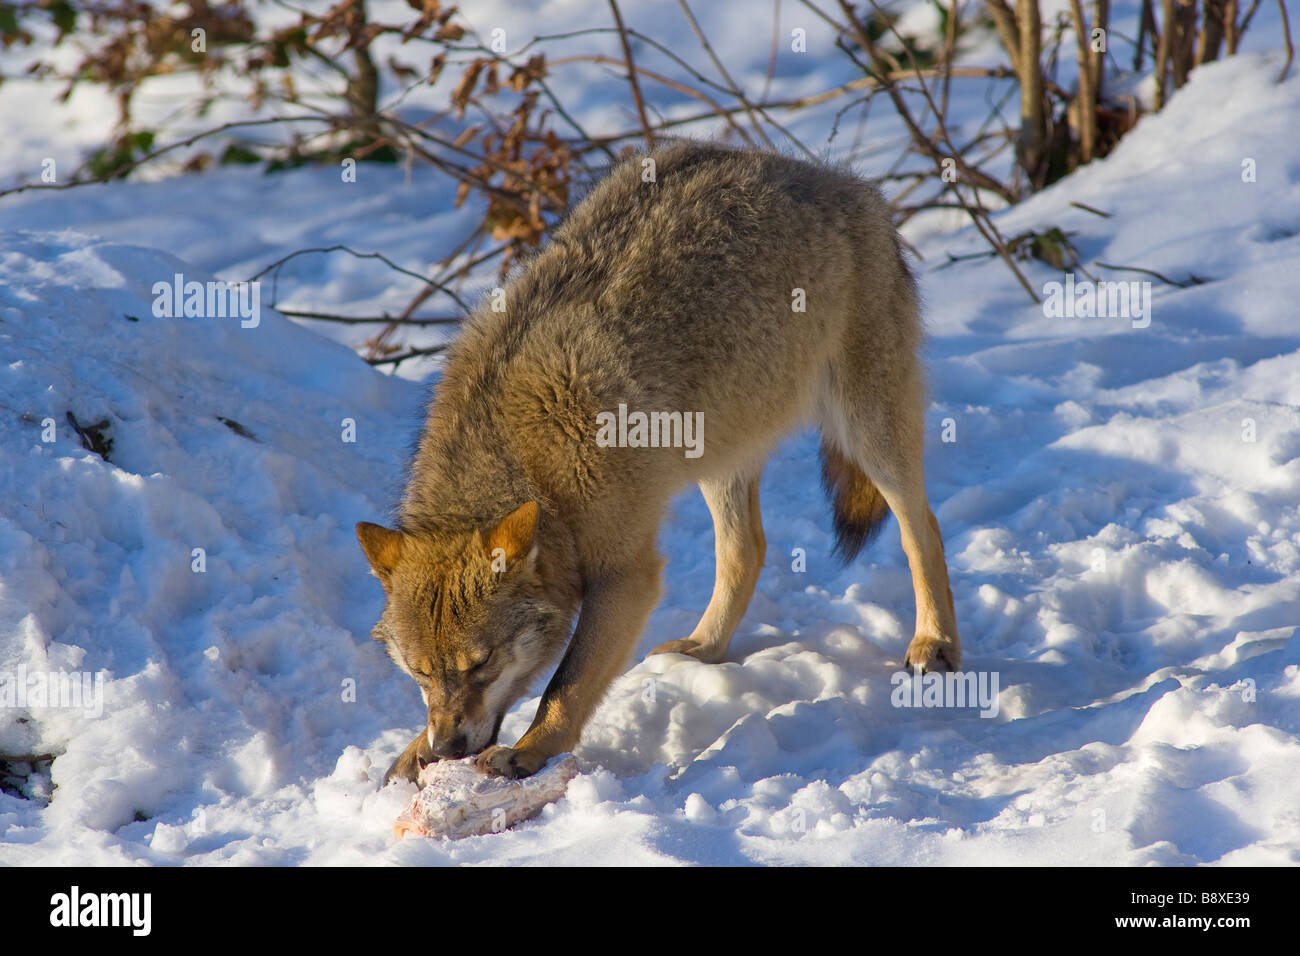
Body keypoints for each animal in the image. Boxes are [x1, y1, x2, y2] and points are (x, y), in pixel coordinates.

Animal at [357, 142, 960, 782]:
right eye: (420, 673)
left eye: (481, 662)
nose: (449, 746)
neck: (525, 456)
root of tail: (844, 181)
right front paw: (413, 753)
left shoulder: (627, 575)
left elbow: (564, 685)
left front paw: (530, 750)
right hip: (720, 452)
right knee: (747, 551)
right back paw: (705, 648)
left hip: (867, 430)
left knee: (923, 528)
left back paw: (934, 645)